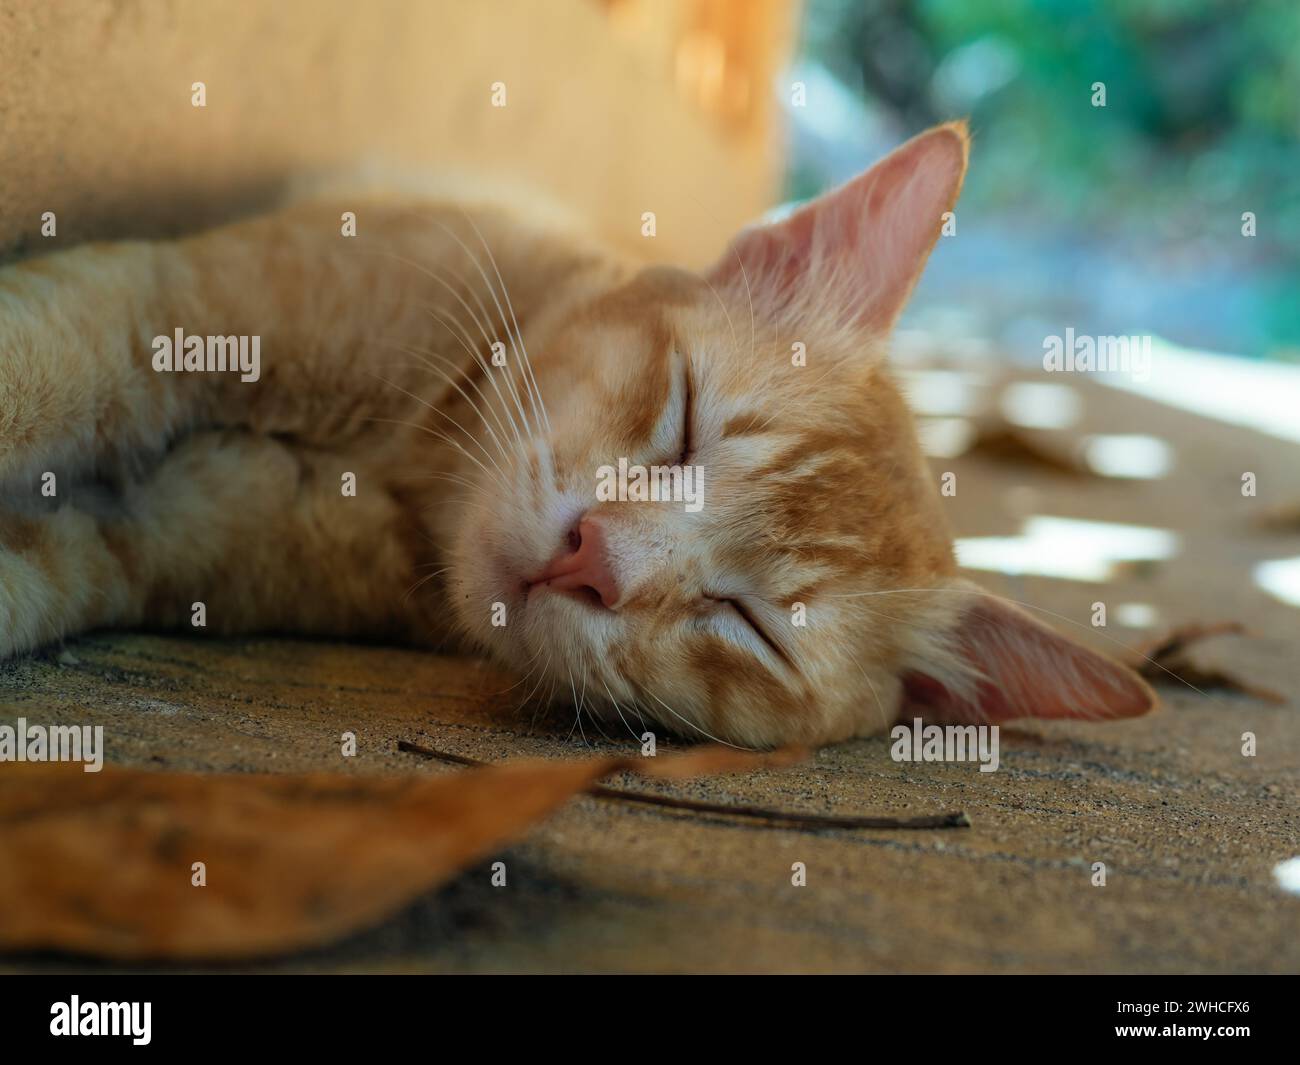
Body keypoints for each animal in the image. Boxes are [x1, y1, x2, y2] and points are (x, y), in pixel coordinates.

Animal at [0, 122, 1159, 743]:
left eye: (749, 623)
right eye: (684, 419)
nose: (590, 556)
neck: (408, 470)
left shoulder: (138, 541)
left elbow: (34, 566)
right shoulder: (169, 302)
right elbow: (40, 365)